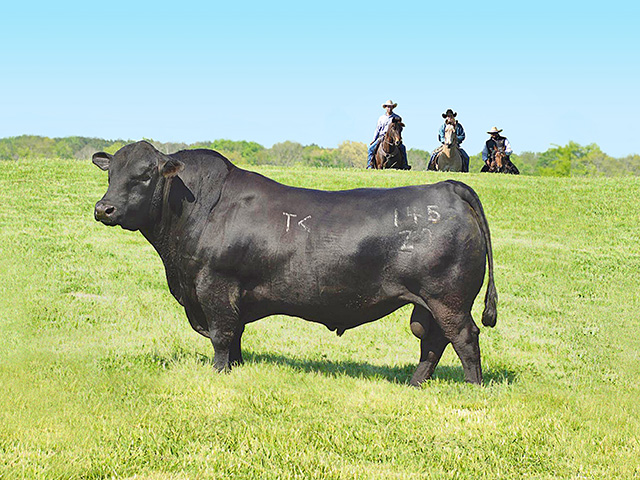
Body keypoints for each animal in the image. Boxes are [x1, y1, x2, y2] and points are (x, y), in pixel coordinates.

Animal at [93, 141, 497, 385]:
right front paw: (236, 369)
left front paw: (219, 374)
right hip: (428, 303)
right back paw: (415, 385)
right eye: (110, 173)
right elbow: (236, 336)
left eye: (145, 175)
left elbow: (222, 336)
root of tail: (447, 186)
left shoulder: (214, 287)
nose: (103, 208)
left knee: (464, 337)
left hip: (448, 298)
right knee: (432, 341)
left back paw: (472, 388)